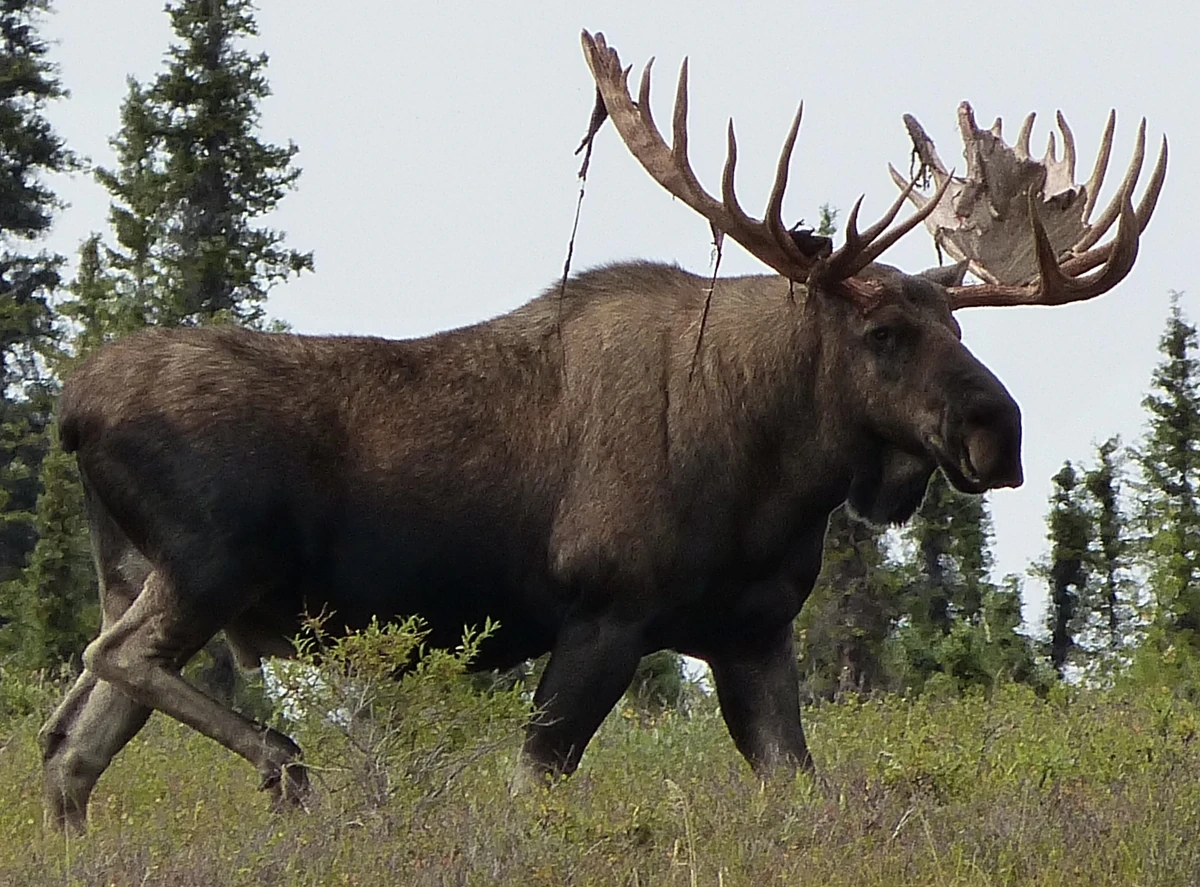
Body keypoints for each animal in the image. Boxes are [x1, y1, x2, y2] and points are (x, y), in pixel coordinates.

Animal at [37, 31, 1166, 830]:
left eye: (961, 326)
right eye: (883, 331)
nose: (997, 430)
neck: (773, 481)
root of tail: (70, 408)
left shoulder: (752, 633)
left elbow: (803, 788)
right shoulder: (605, 615)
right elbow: (535, 783)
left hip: (145, 569)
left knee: (68, 744)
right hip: (209, 563)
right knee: (104, 663)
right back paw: (284, 758)